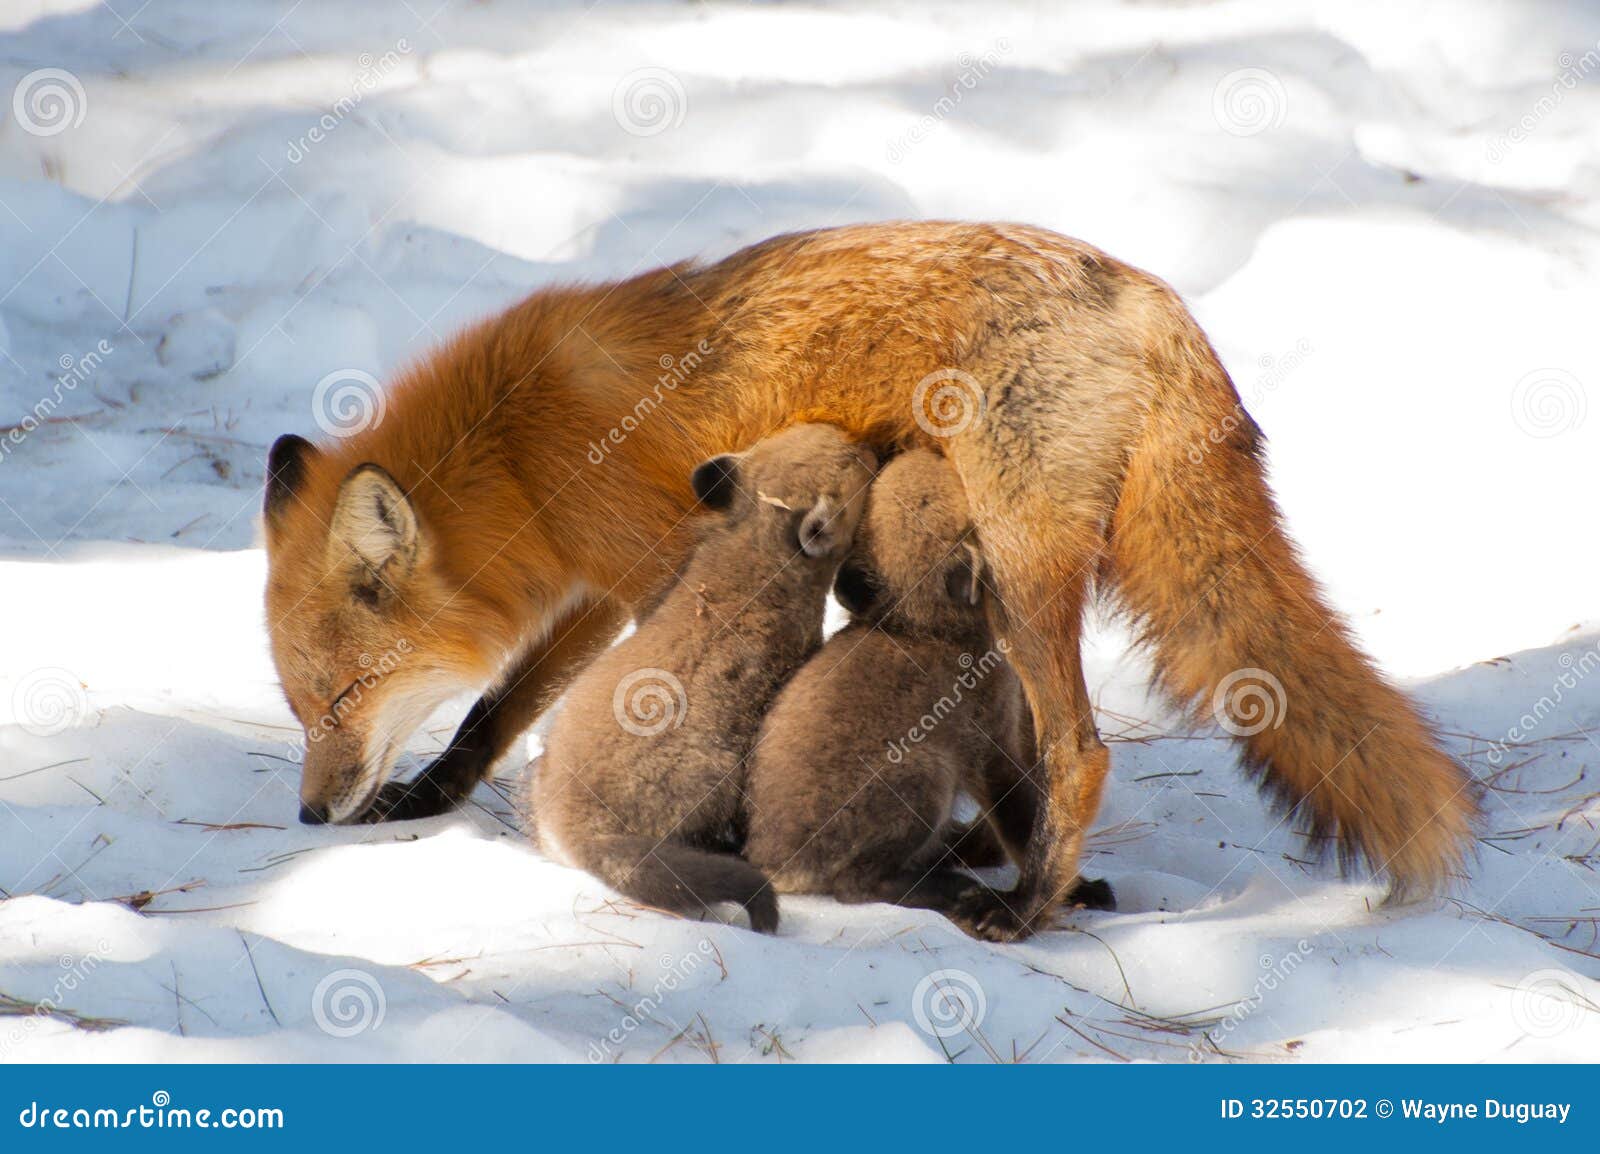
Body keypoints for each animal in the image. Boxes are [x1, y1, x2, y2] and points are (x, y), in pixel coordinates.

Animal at [743, 448, 1112, 938]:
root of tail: (771, 863)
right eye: (942, 483)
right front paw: (1067, 892)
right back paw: (949, 887)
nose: (925, 449)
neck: (926, 627)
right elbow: (1024, 819)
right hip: (924, 775)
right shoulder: (990, 747)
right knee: (855, 885)